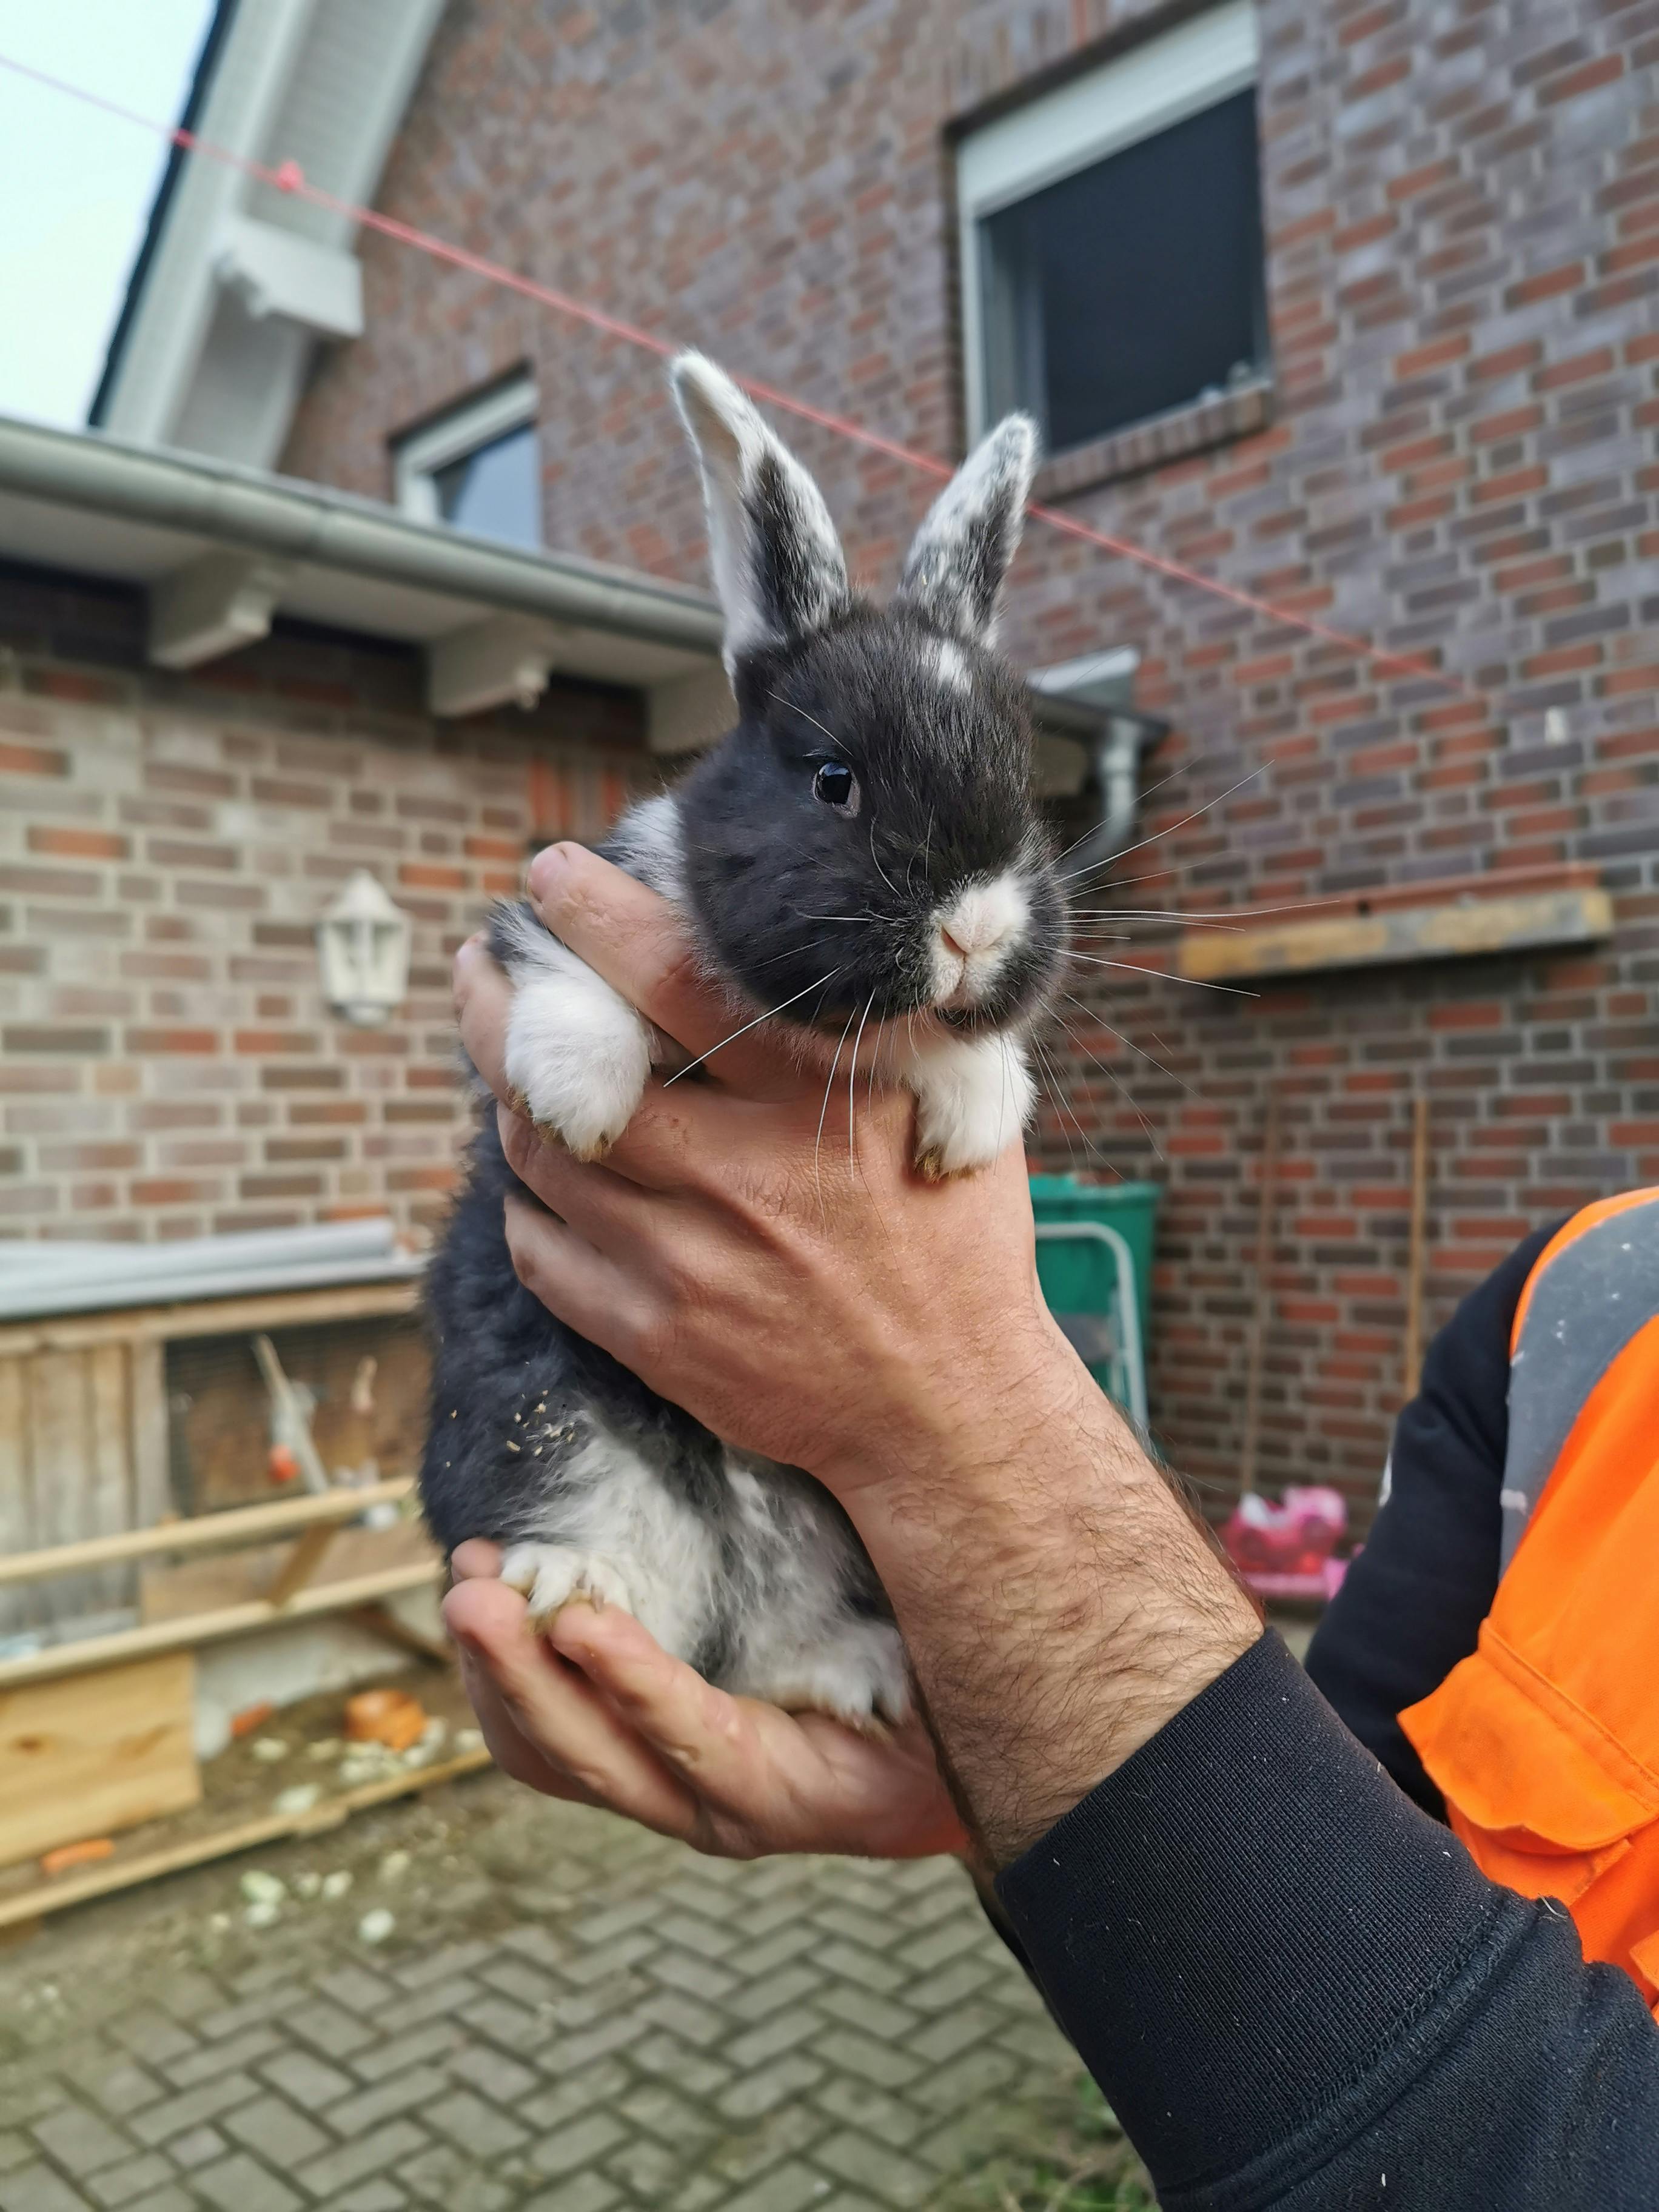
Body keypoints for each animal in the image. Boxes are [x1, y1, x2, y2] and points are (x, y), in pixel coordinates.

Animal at [420, 353, 1066, 1727]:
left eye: (1027, 792)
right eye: (832, 780)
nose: (976, 928)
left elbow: (962, 1053)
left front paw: (974, 1110)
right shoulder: (554, 909)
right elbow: (561, 972)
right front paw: (579, 1101)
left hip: (827, 1531)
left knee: (766, 1655)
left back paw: (857, 1676)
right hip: (556, 1433)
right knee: (637, 1579)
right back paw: (571, 1591)